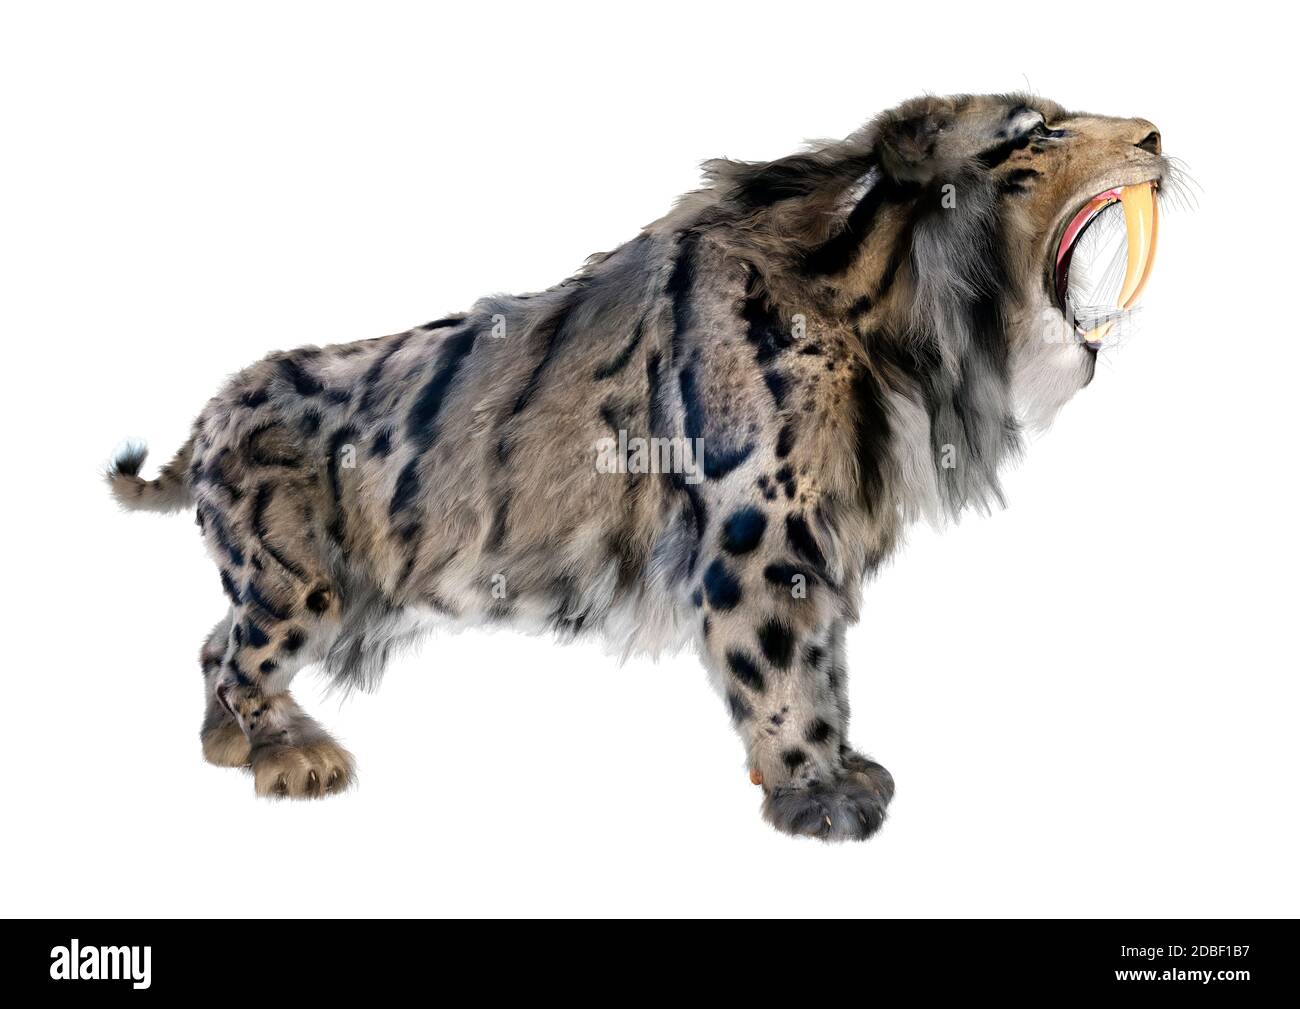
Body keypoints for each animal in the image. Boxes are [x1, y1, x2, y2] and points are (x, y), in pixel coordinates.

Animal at [107, 92, 1170, 840]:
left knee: (213, 644)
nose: (1158, 135)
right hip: (301, 584)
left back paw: (227, 744)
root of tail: (210, 413)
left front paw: (837, 768)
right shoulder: (758, 539)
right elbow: (784, 669)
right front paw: (815, 792)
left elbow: (825, 665)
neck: (890, 314)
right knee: (241, 656)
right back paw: (291, 756)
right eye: (1041, 129)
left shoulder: (814, 542)